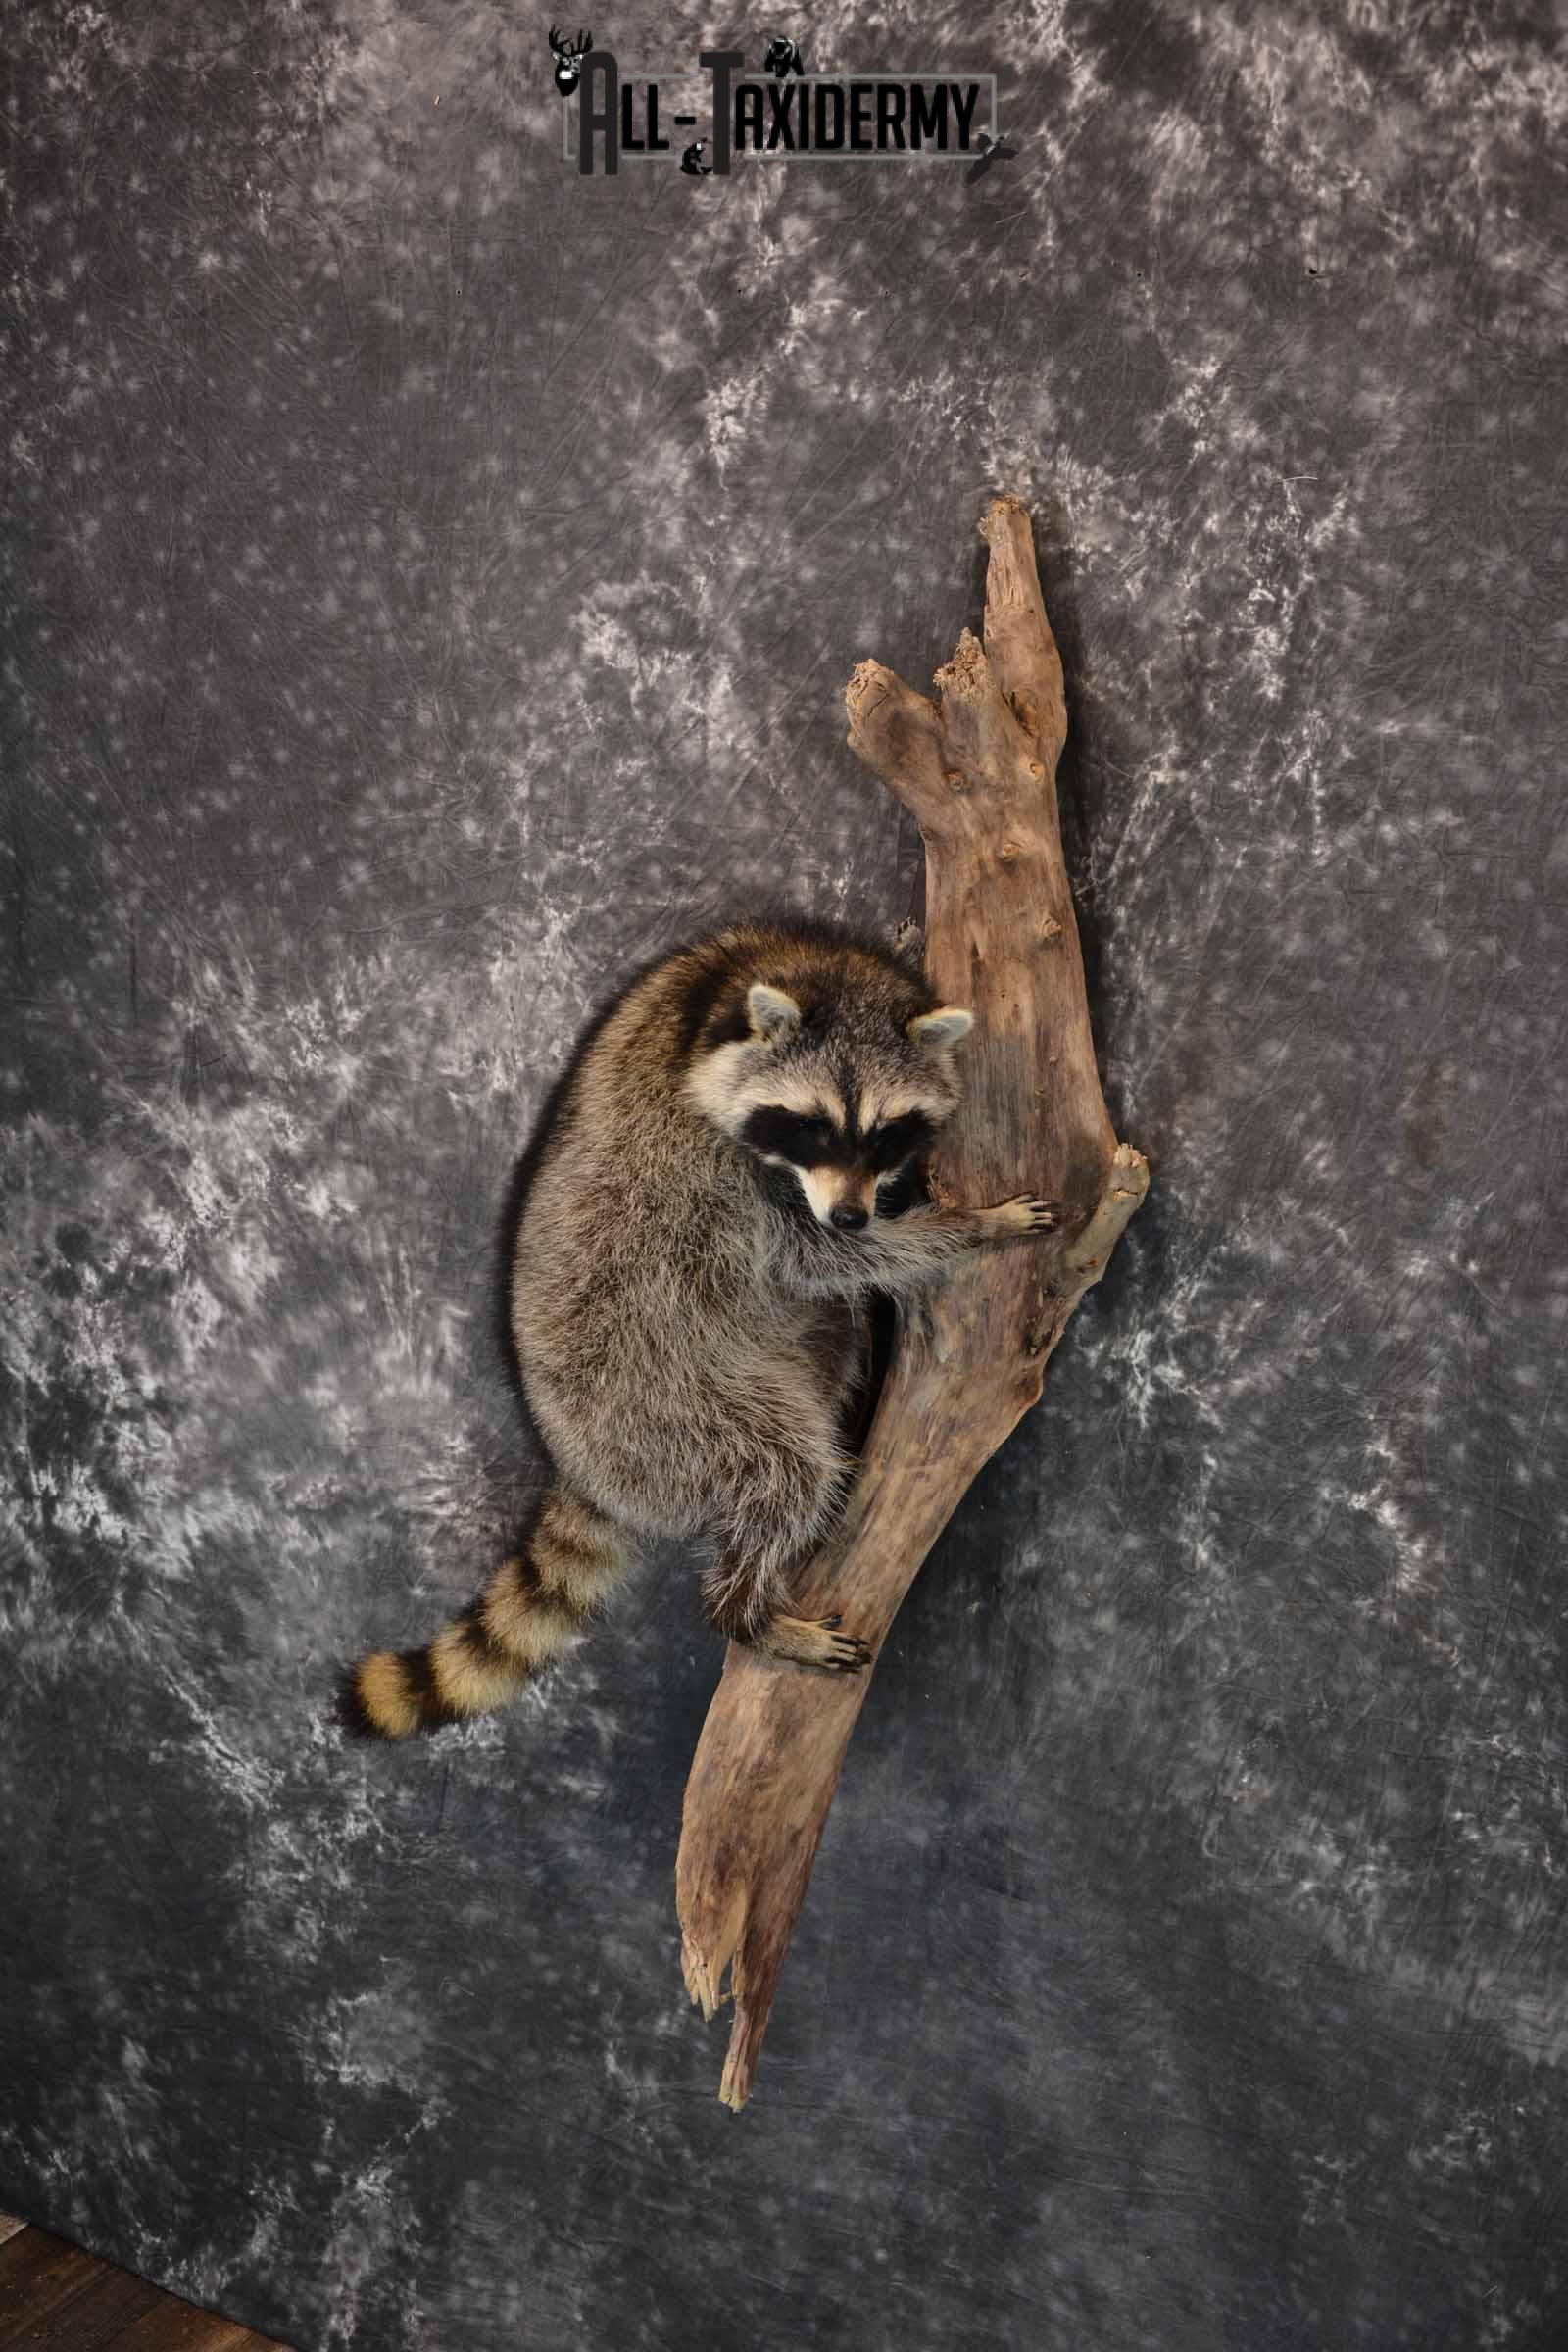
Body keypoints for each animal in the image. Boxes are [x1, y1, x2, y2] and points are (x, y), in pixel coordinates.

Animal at [346, 922, 1055, 1737]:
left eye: (883, 1133)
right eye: (812, 1126)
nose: (852, 1212)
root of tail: (575, 1465)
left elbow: (825, 1263)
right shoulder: (715, 1158)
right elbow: (811, 1257)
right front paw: (972, 1228)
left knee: (829, 1341)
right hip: (656, 1403)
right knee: (784, 1467)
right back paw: (745, 1611)